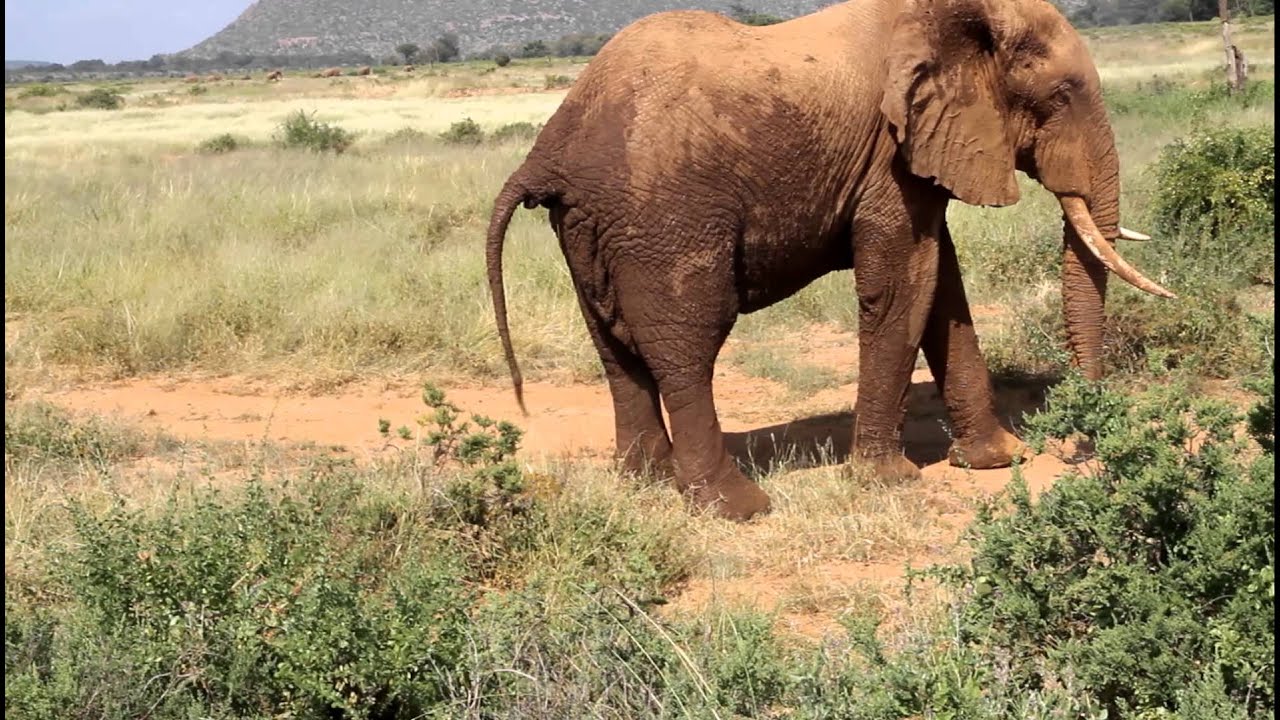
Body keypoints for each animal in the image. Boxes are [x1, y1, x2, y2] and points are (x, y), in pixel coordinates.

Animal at [485, 0, 1174, 521]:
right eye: (1061, 95)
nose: (1079, 443)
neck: (952, 14)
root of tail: (551, 149)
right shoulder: (890, 155)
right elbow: (905, 285)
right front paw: (890, 481)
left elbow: (940, 285)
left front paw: (998, 460)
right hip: (664, 220)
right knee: (686, 348)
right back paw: (740, 509)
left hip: (586, 227)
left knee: (614, 349)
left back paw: (645, 485)